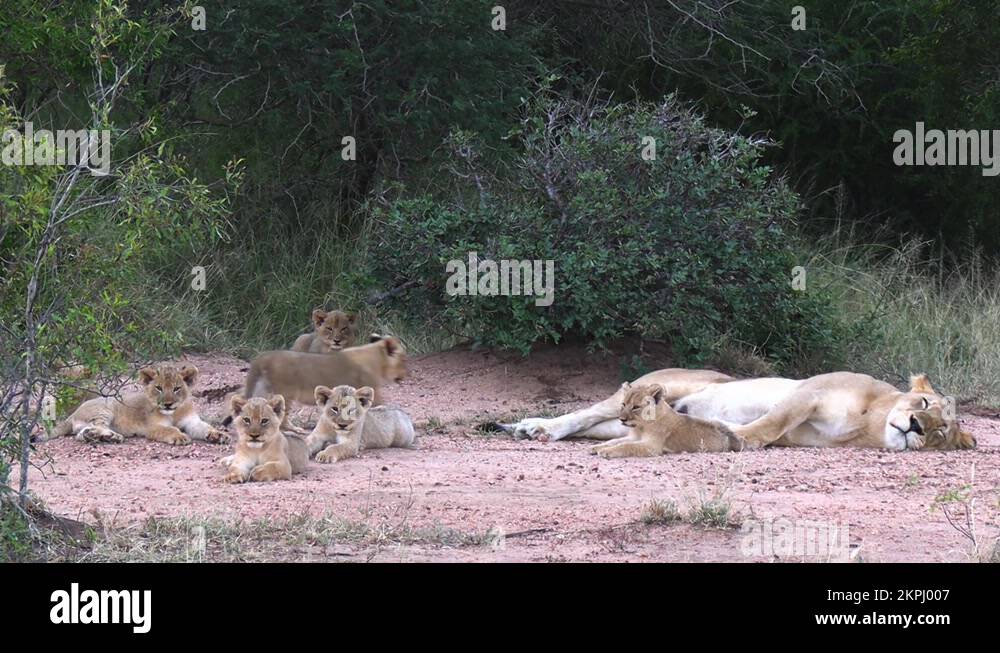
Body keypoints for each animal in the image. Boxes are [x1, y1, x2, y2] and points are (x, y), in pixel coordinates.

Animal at [51, 364, 227, 445]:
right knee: (97, 425)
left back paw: (99, 437)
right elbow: (170, 429)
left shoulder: (192, 421)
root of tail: (72, 415)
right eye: (159, 388)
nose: (168, 404)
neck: (174, 413)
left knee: (82, 434)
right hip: (104, 409)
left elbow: (205, 427)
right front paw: (179, 436)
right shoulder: (152, 427)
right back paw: (112, 436)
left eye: (177, 388)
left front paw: (219, 435)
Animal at [222, 336, 407, 433]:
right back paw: (295, 430)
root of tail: (263, 357)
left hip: (262, 389)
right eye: (404, 360)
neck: (376, 358)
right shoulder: (372, 393)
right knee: (281, 419)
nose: (407, 374)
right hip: (284, 393)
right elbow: (387, 408)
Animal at [590, 383, 742, 458]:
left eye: (636, 407)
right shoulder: (634, 437)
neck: (641, 427)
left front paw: (606, 451)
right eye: (623, 404)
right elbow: (616, 441)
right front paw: (597, 447)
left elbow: (626, 446)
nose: (622, 419)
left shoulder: (652, 446)